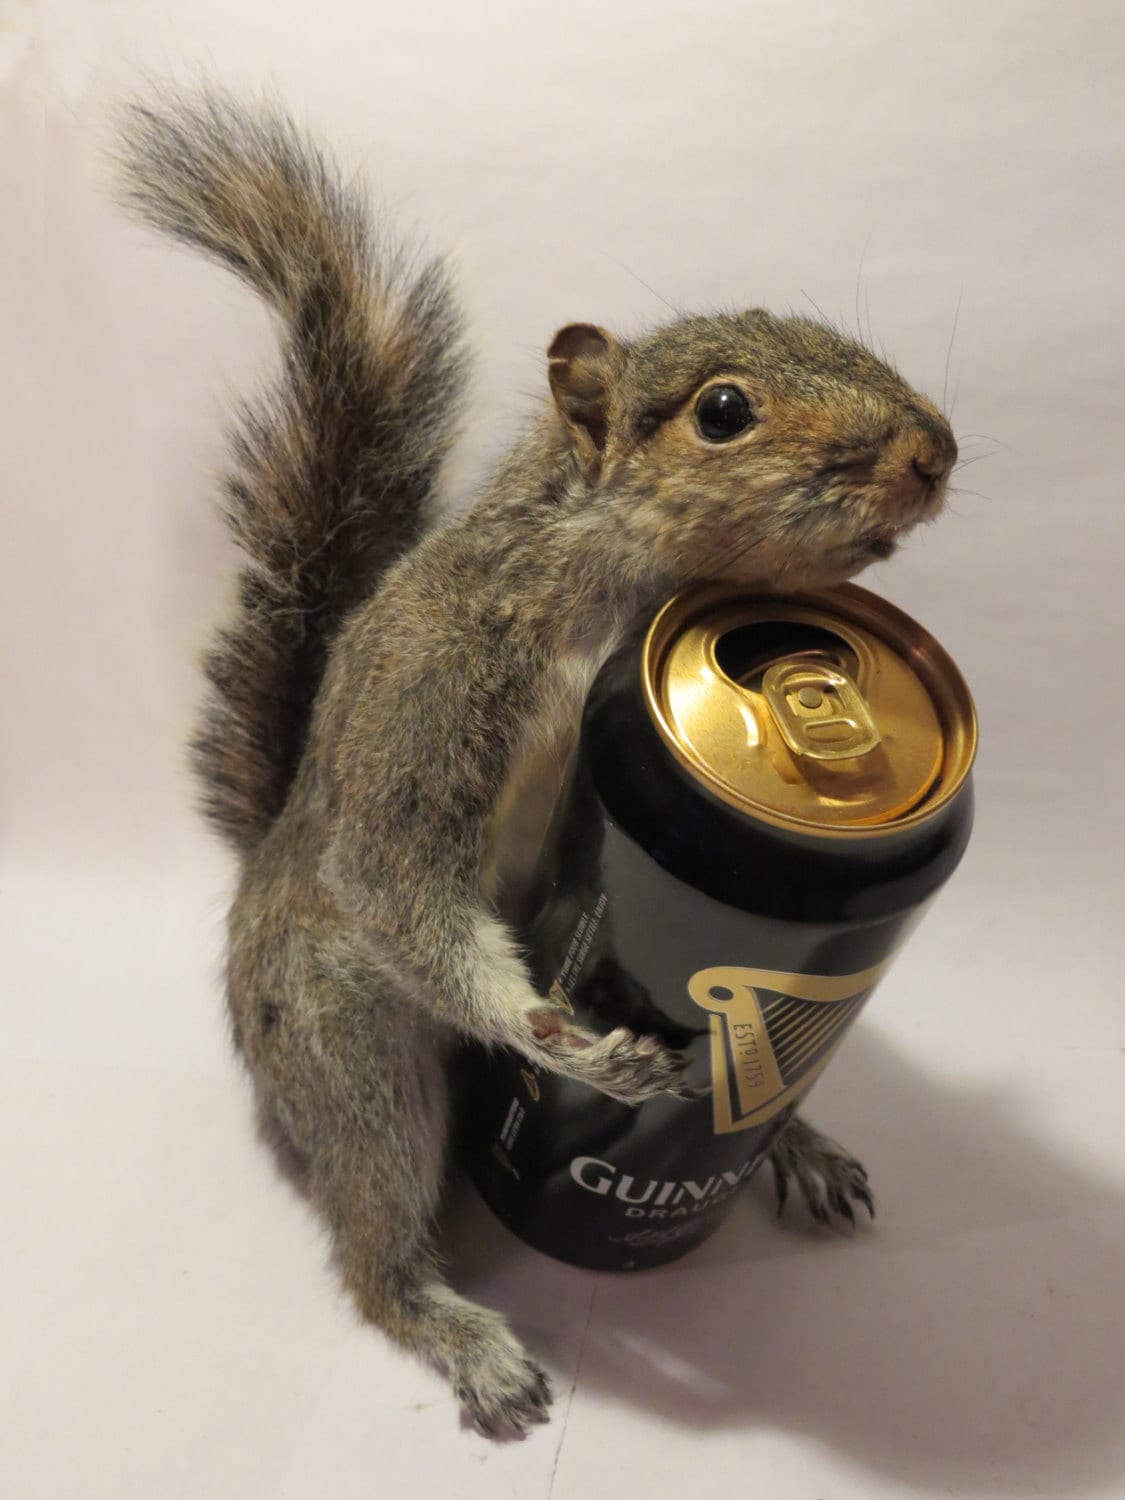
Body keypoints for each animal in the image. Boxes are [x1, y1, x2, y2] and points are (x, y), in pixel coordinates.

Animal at [114, 88, 957, 1437]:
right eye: (724, 412)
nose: (933, 453)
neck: (602, 590)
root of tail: (253, 888)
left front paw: (785, 1131)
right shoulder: (431, 690)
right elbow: (397, 878)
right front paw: (566, 1042)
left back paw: (791, 1143)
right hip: (347, 1049)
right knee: (374, 1226)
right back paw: (458, 1334)